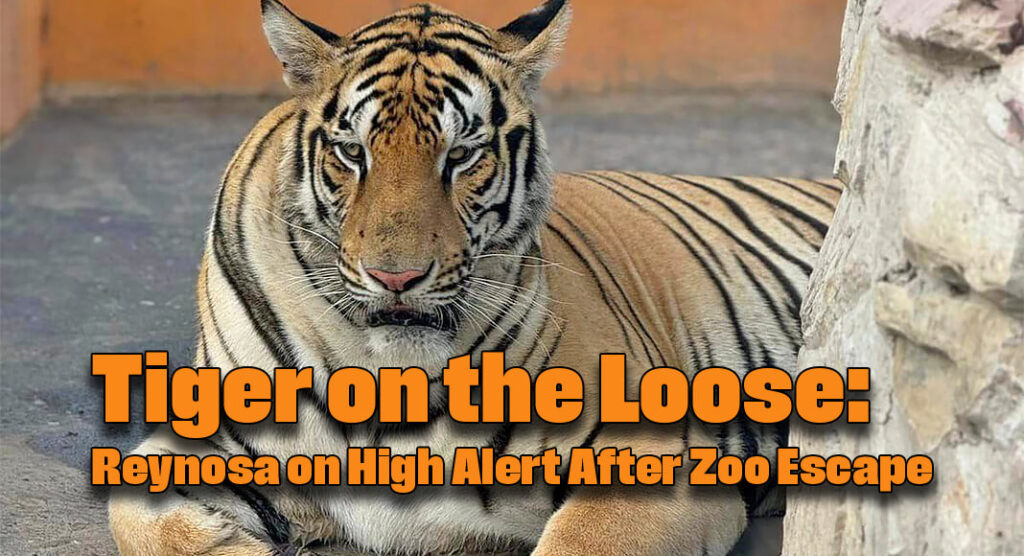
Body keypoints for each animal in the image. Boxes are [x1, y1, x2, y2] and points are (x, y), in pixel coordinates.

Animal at [107, 0, 841, 554]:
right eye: (353, 152)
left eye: (461, 155)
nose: (396, 278)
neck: (380, 378)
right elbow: (132, 505)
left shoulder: (654, 454)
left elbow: (584, 542)